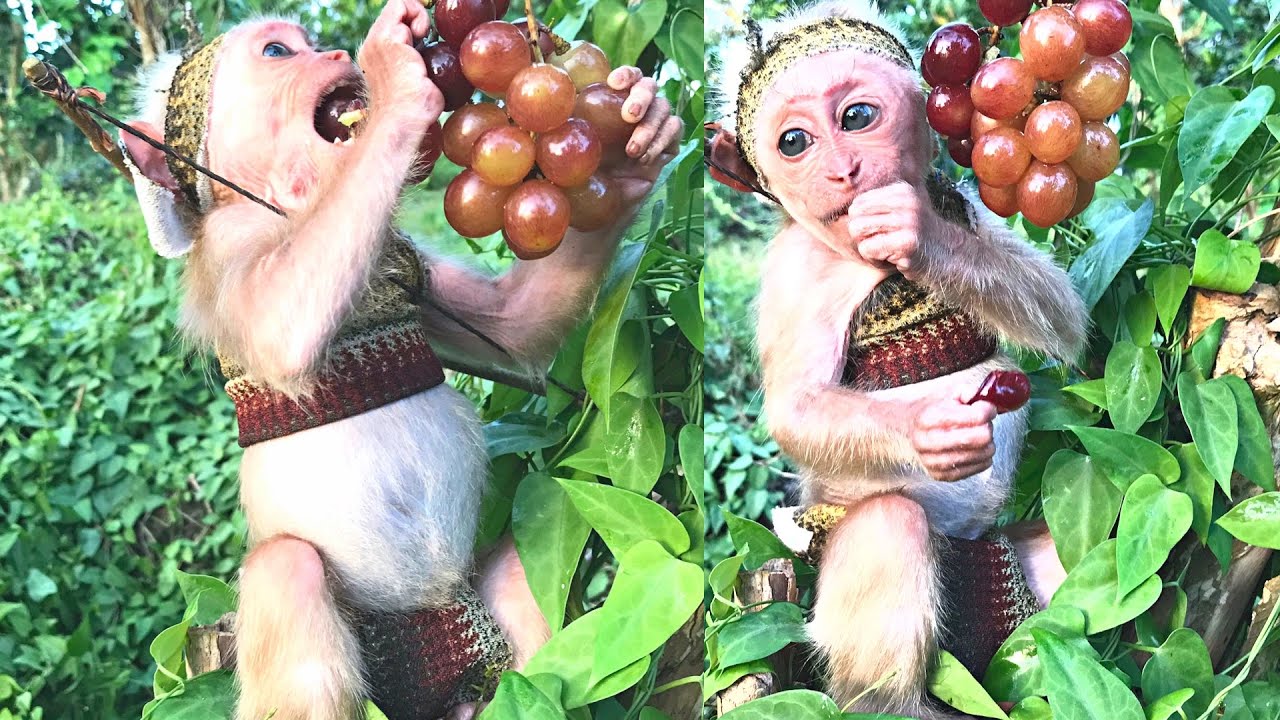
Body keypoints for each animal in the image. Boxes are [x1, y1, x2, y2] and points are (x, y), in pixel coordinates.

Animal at [115, 3, 683, 719]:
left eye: (306, 44)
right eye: (277, 52)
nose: (335, 53)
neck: (296, 201)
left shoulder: (401, 254)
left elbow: (509, 327)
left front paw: (637, 133)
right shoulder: (225, 248)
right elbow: (276, 326)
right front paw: (399, 75)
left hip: (495, 635)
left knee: (532, 569)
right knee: (286, 573)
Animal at [707, 2, 1085, 717]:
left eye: (857, 117)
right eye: (794, 142)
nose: (842, 172)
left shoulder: (960, 203)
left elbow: (1062, 309)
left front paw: (922, 238)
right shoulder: (799, 272)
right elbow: (799, 409)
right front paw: (928, 430)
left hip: (1011, 598)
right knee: (887, 525)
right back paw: (885, 700)